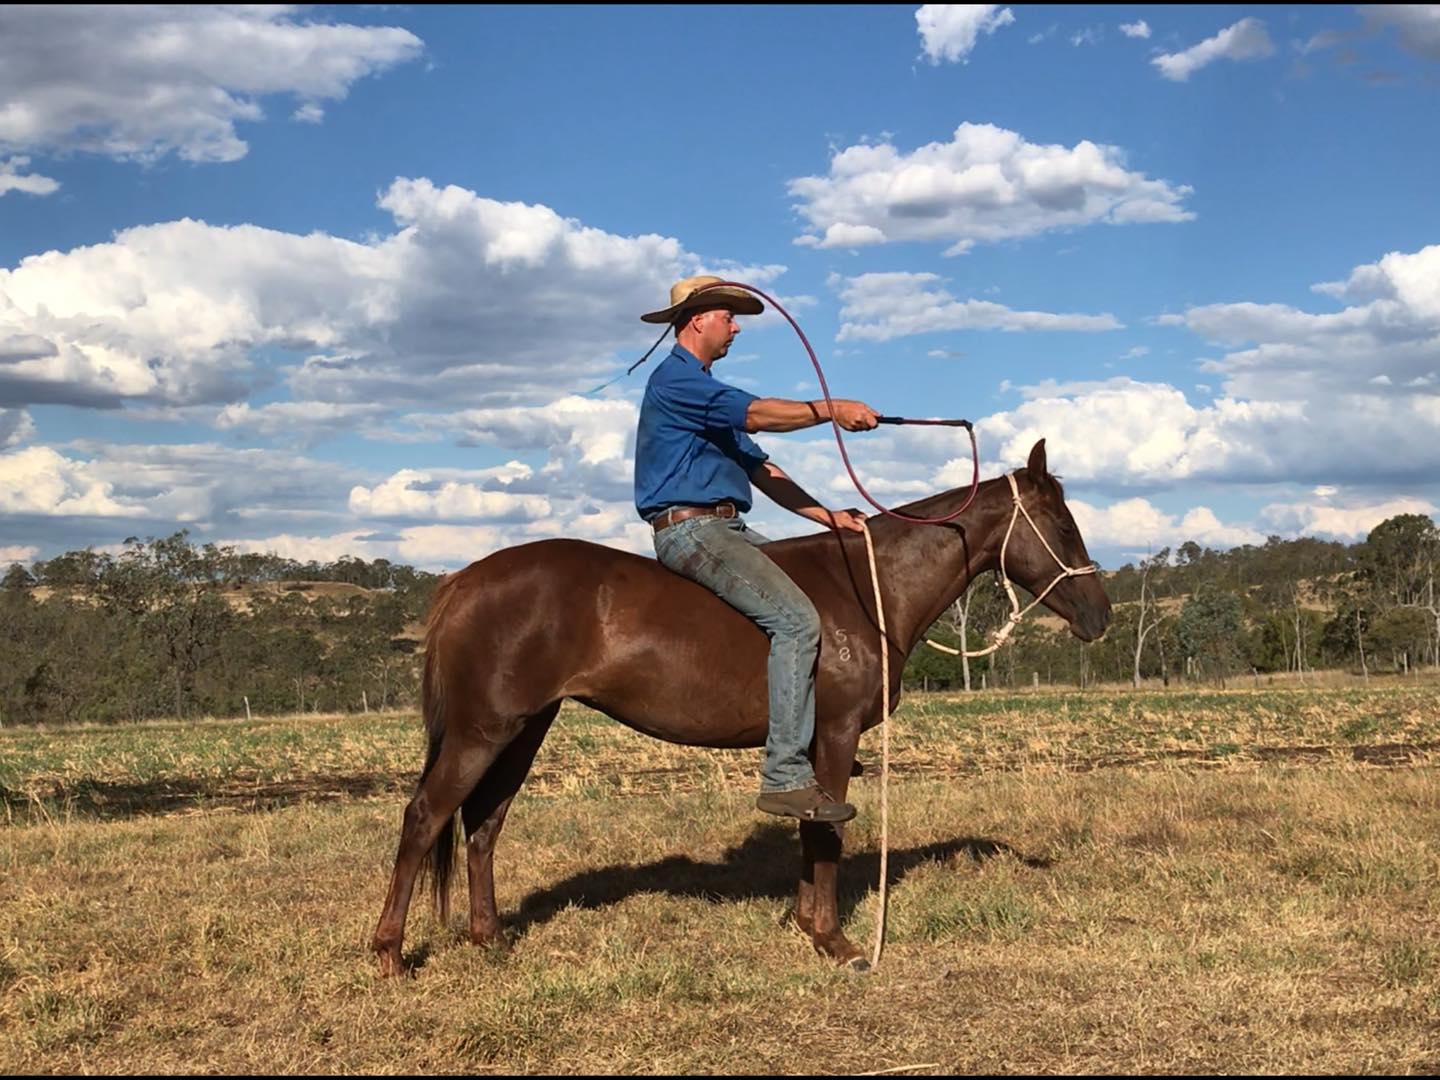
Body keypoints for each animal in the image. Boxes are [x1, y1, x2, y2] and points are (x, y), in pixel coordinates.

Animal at [371, 438, 1112, 975]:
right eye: (1060, 524)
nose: (1100, 613)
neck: (866, 588)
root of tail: (463, 579)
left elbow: (810, 831)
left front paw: (804, 923)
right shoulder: (834, 733)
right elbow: (827, 831)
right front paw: (832, 939)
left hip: (523, 729)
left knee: (483, 823)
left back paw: (490, 939)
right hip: (482, 730)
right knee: (425, 816)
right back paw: (390, 953)